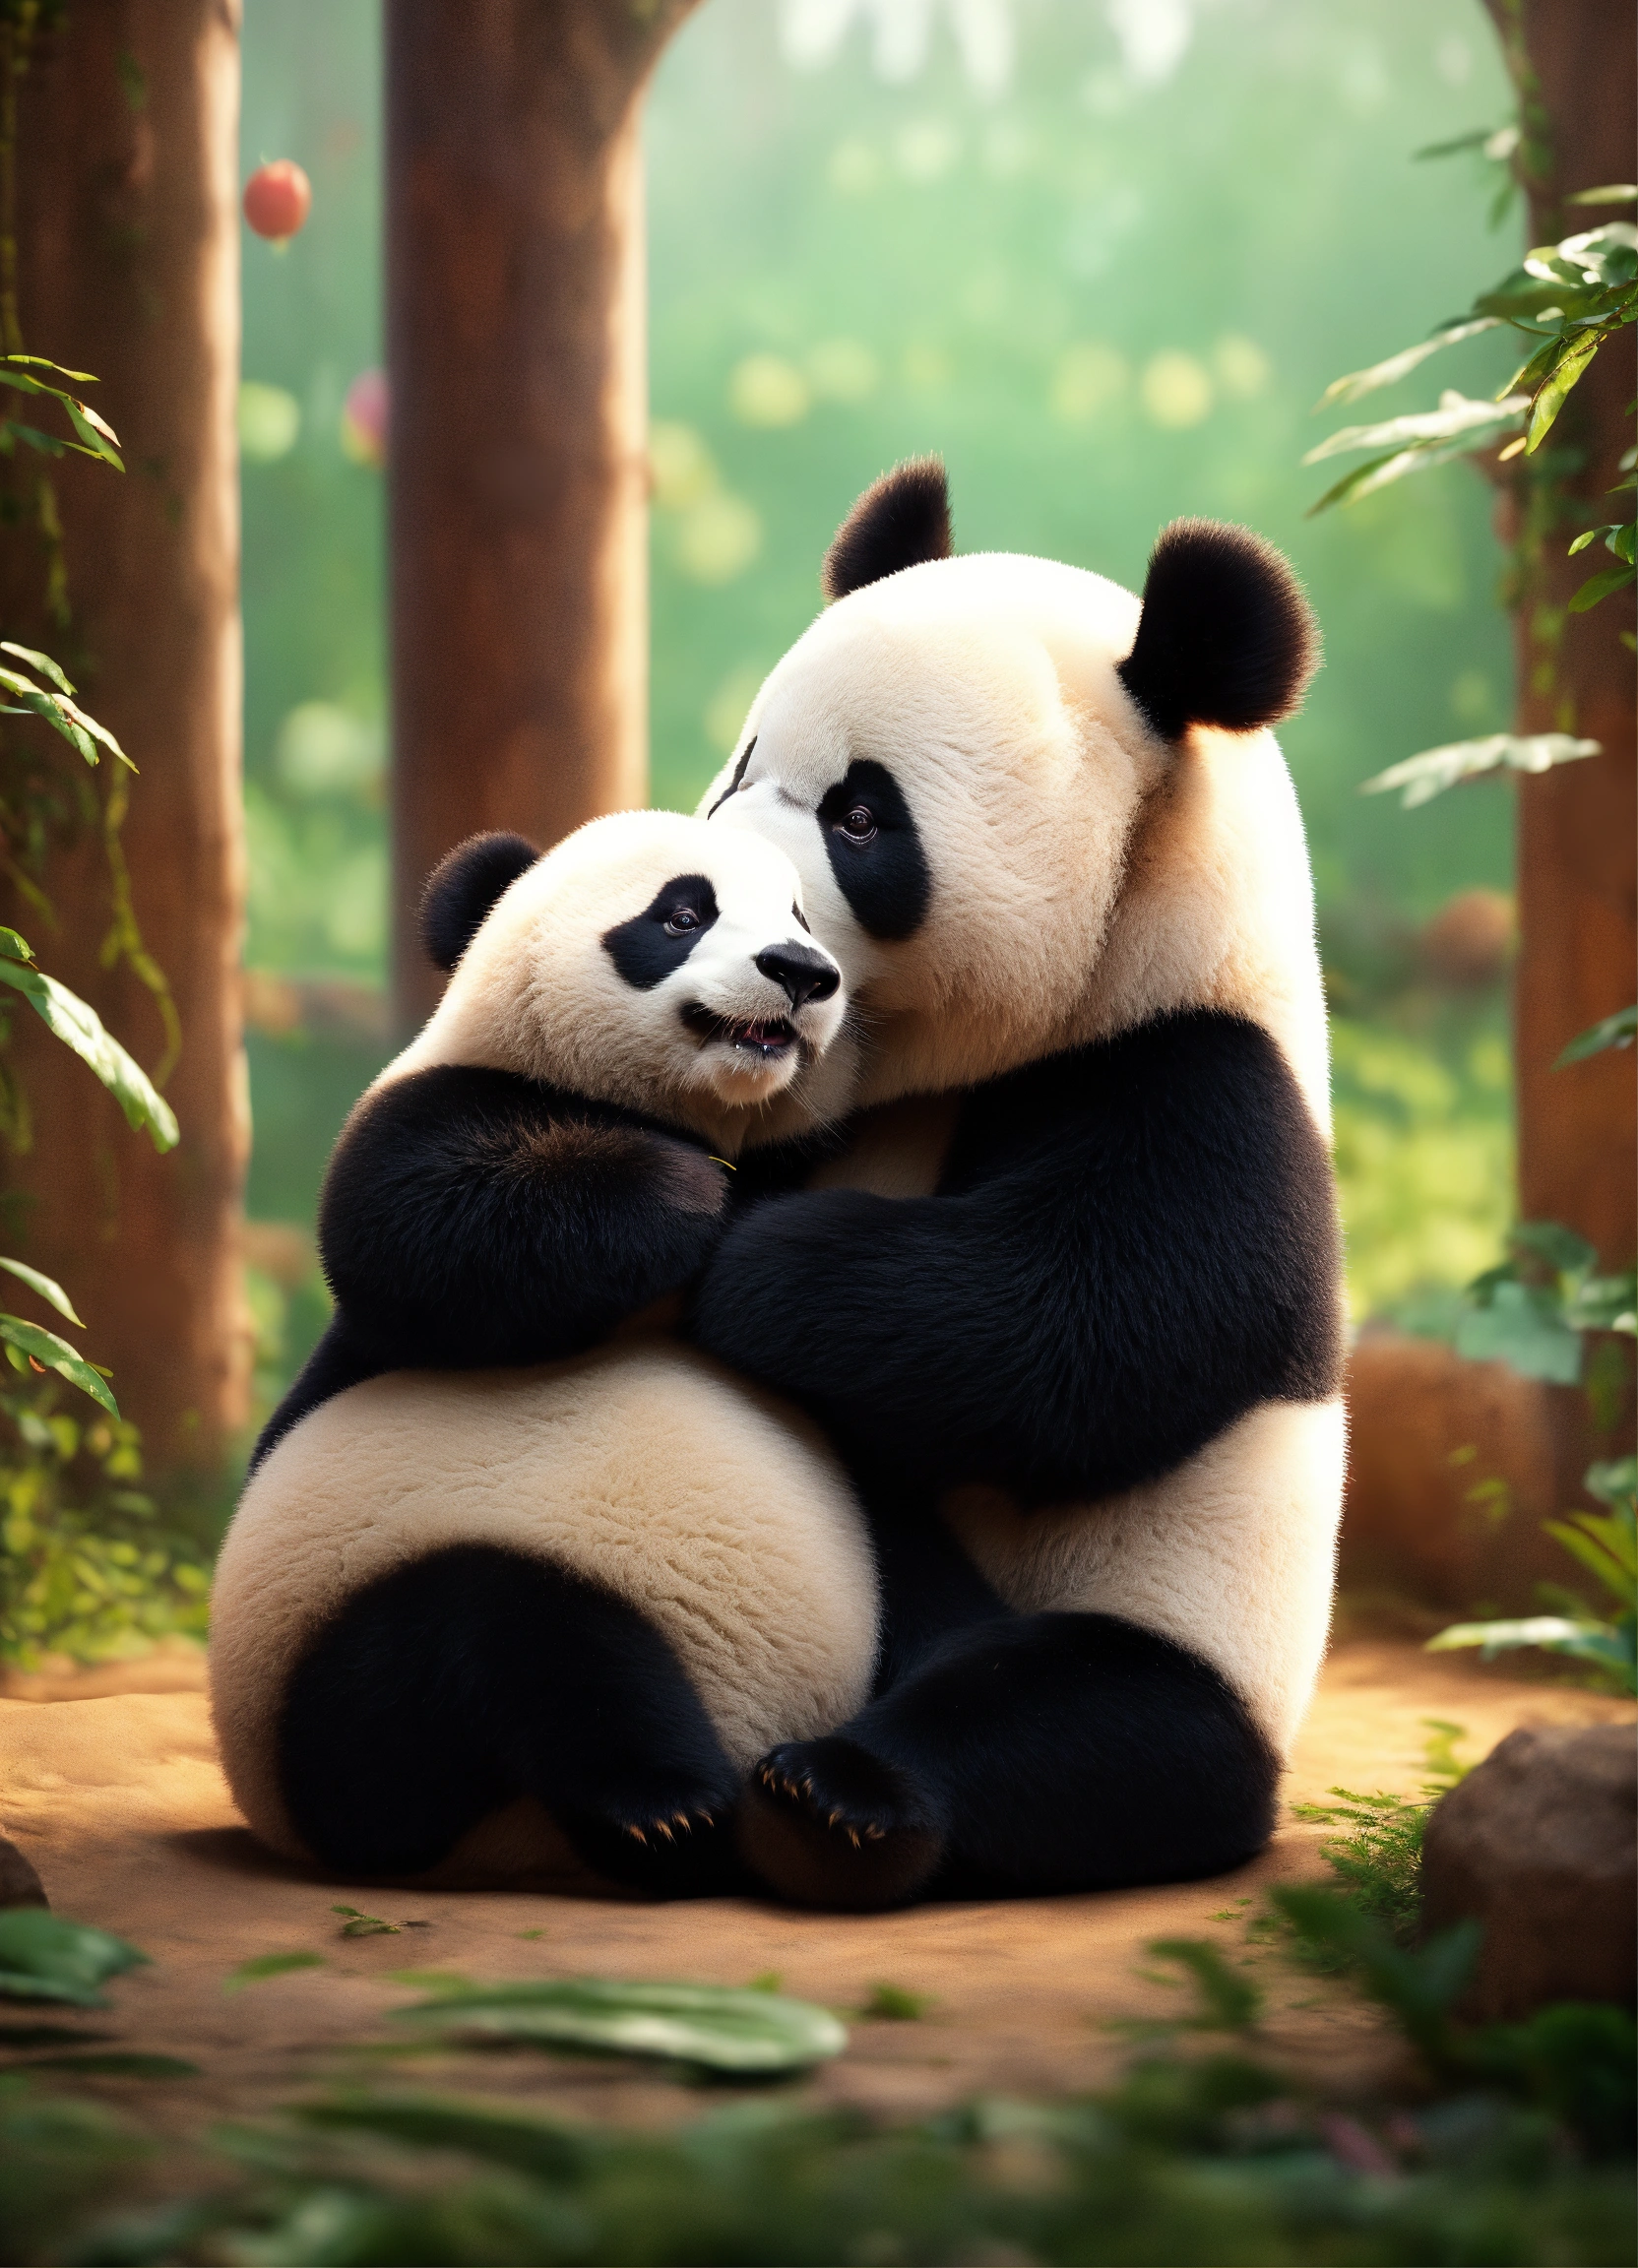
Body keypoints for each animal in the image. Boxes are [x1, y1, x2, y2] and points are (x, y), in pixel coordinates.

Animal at [209, 809, 880, 1897]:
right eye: (683, 913)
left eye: (801, 915)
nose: (800, 971)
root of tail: (512, 1851)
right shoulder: (428, 1116)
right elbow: (430, 1224)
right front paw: (688, 1192)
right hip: (331, 1652)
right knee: (496, 1643)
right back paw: (659, 1802)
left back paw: (813, 1805)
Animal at [687, 460, 1346, 1909]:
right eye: (738, 774)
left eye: (859, 814)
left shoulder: (1191, 1073)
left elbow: (1087, 1326)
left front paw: (747, 1256)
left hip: (1187, 1620)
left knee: (1080, 1723)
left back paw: (840, 1803)